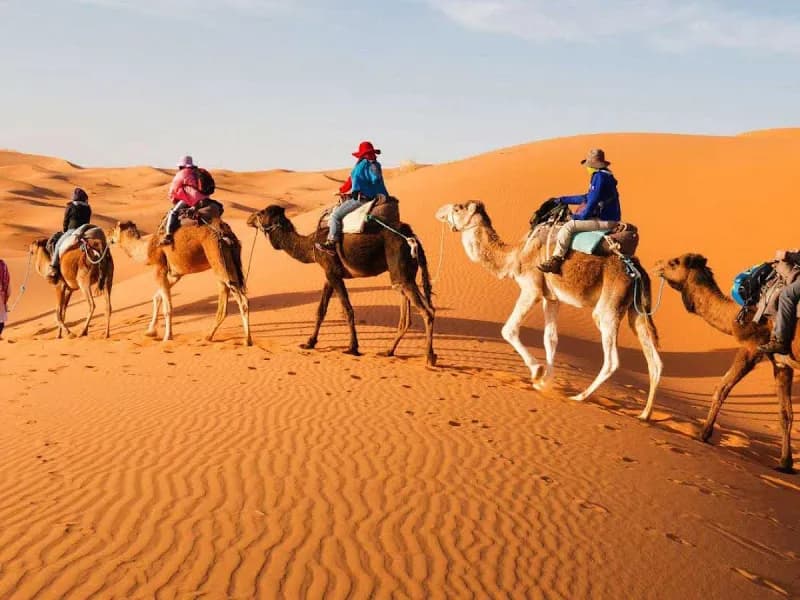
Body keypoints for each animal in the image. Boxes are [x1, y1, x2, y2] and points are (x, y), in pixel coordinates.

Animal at [108, 219, 252, 346]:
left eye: (114, 228)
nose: (108, 236)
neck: (147, 248)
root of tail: (227, 234)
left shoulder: (159, 268)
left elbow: (167, 307)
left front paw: (167, 337)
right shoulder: (175, 274)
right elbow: (157, 297)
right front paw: (150, 331)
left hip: (217, 258)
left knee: (242, 300)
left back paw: (247, 340)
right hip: (228, 263)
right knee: (225, 298)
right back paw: (209, 336)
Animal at [246, 205, 436, 365]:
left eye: (261, 213)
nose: (249, 219)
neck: (311, 245)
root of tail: (413, 238)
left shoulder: (333, 273)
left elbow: (348, 310)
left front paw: (353, 348)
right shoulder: (329, 274)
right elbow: (321, 310)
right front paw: (309, 342)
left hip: (400, 270)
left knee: (427, 311)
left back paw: (429, 357)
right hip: (405, 275)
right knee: (410, 314)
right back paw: (389, 351)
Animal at [435, 201, 662, 419]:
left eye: (458, 208)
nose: (439, 211)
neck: (516, 255)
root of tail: (637, 271)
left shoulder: (532, 289)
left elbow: (508, 330)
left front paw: (537, 373)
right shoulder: (551, 298)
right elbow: (550, 339)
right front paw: (545, 383)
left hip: (609, 307)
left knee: (612, 359)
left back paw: (579, 397)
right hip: (637, 310)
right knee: (654, 361)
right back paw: (645, 414)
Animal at [655, 253, 795, 472]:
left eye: (674, 262)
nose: (657, 264)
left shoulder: (751, 347)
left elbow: (721, 388)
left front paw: (704, 433)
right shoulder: (780, 361)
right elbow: (785, 413)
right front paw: (785, 463)